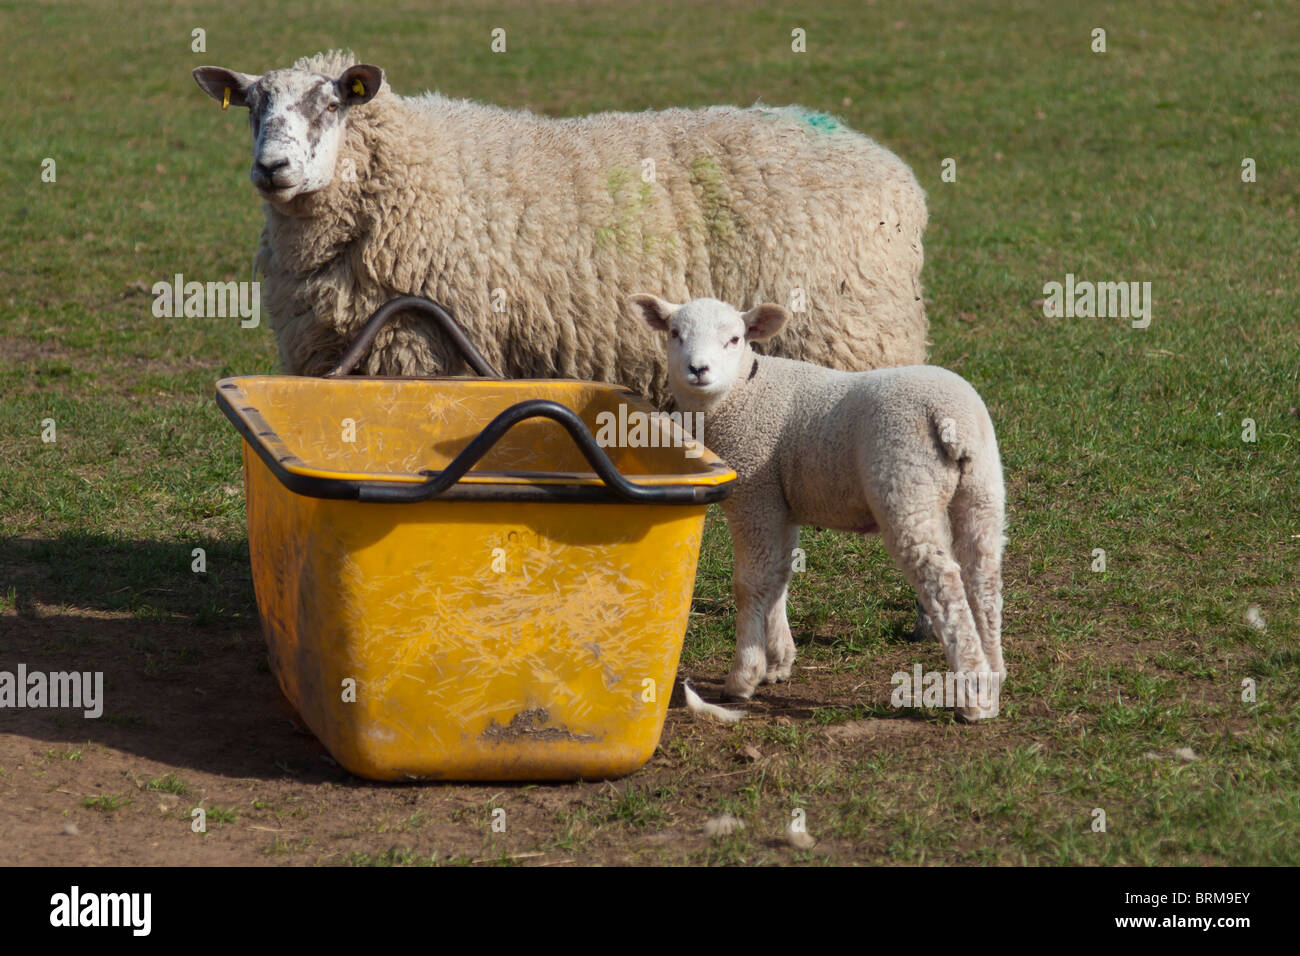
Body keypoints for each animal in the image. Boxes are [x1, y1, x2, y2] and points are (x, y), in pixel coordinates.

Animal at [191, 50, 929, 407]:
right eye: (251, 105)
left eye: (330, 104)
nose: (272, 168)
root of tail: (885, 163)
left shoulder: (418, 348)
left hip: (850, 337)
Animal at [629, 294, 1006, 721]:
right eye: (675, 333)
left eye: (734, 339)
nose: (698, 369)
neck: (743, 392)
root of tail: (948, 416)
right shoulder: (778, 502)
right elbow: (778, 578)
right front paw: (778, 663)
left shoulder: (754, 494)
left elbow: (750, 584)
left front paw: (744, 676)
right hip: (982, 487)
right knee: (984, 575)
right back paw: (993, 674)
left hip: (907, 487)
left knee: (944, 583)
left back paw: (974, 698)